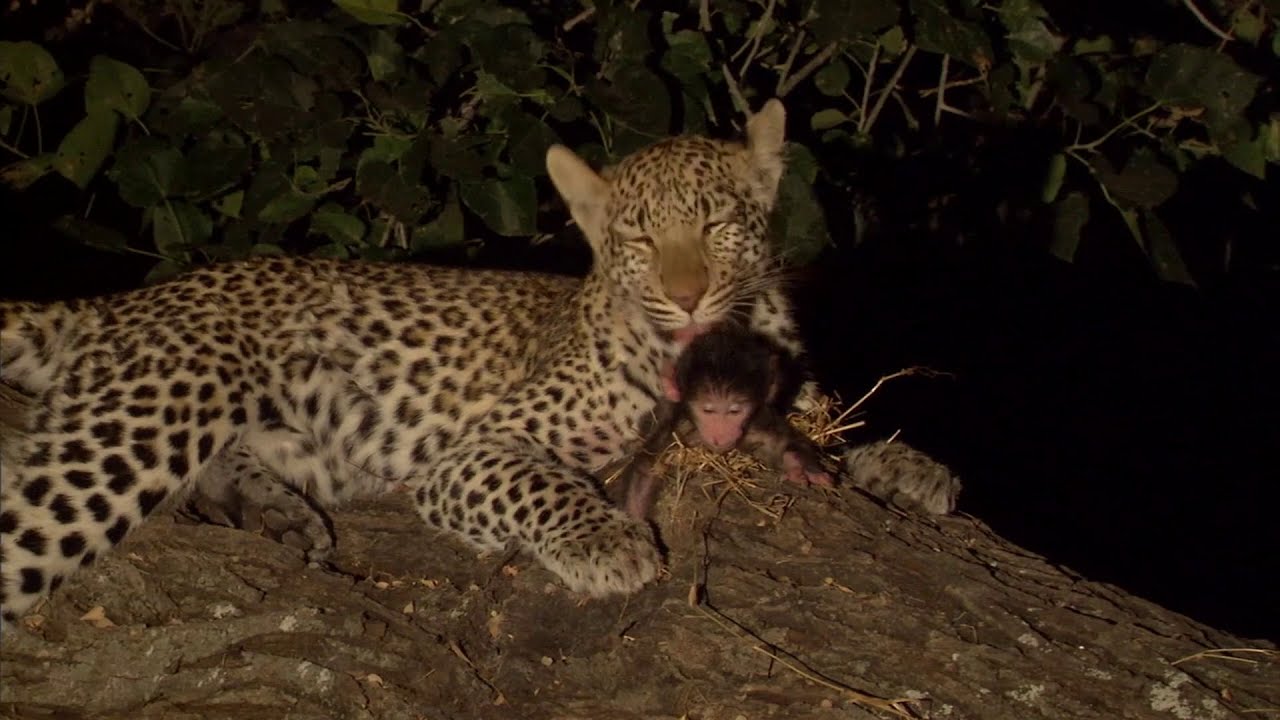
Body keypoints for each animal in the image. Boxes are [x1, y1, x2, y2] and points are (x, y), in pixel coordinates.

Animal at [0, 99, 809, 631]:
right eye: (640, 239)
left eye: (717, 225)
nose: (687, 295)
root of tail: (120, 302)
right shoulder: (468, 454)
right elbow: (543, 485)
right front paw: (605, 542)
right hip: (142, 428)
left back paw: (280, 515)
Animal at [611, 324, 835, 520]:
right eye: (708, 410)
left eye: (734, 411)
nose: (720, 436)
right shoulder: (671, 426)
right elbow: (643, 472)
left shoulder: (758, 421)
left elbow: (785, 441)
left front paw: (800, 465)